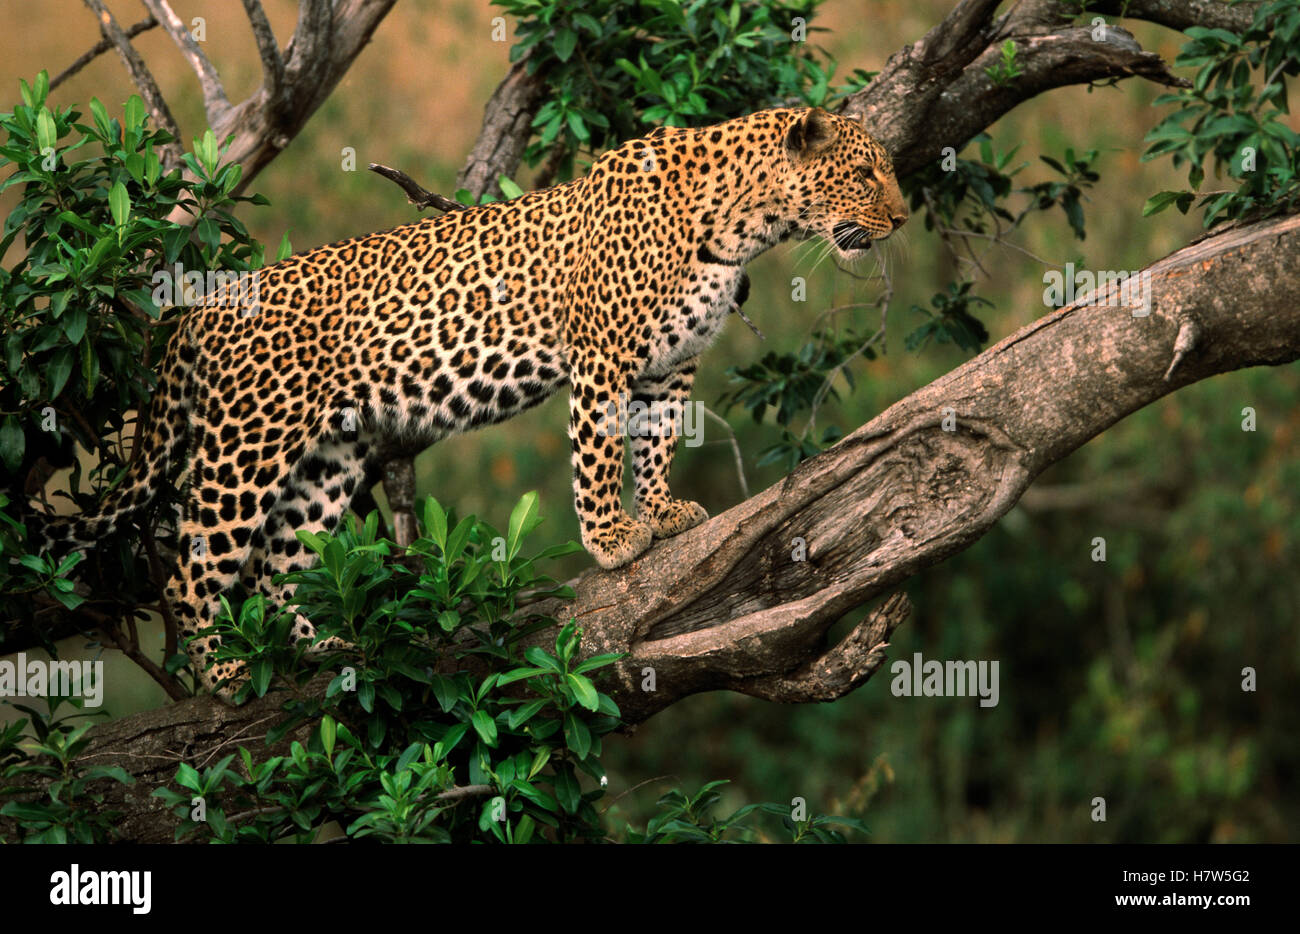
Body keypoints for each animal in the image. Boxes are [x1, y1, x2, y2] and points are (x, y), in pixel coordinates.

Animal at [39, 106, 907, 702]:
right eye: (867, 174)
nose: (901, 217)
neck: (743, 223)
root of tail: (202, 308)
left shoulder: (672, 366)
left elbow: (656, 443)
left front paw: (662, 513)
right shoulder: (602, 358)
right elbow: (600, 455)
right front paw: (612, 541)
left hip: (330, 457)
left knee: (281, 564)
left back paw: (325, 649)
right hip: (248, 445)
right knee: (197, 567)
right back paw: (221, 672)